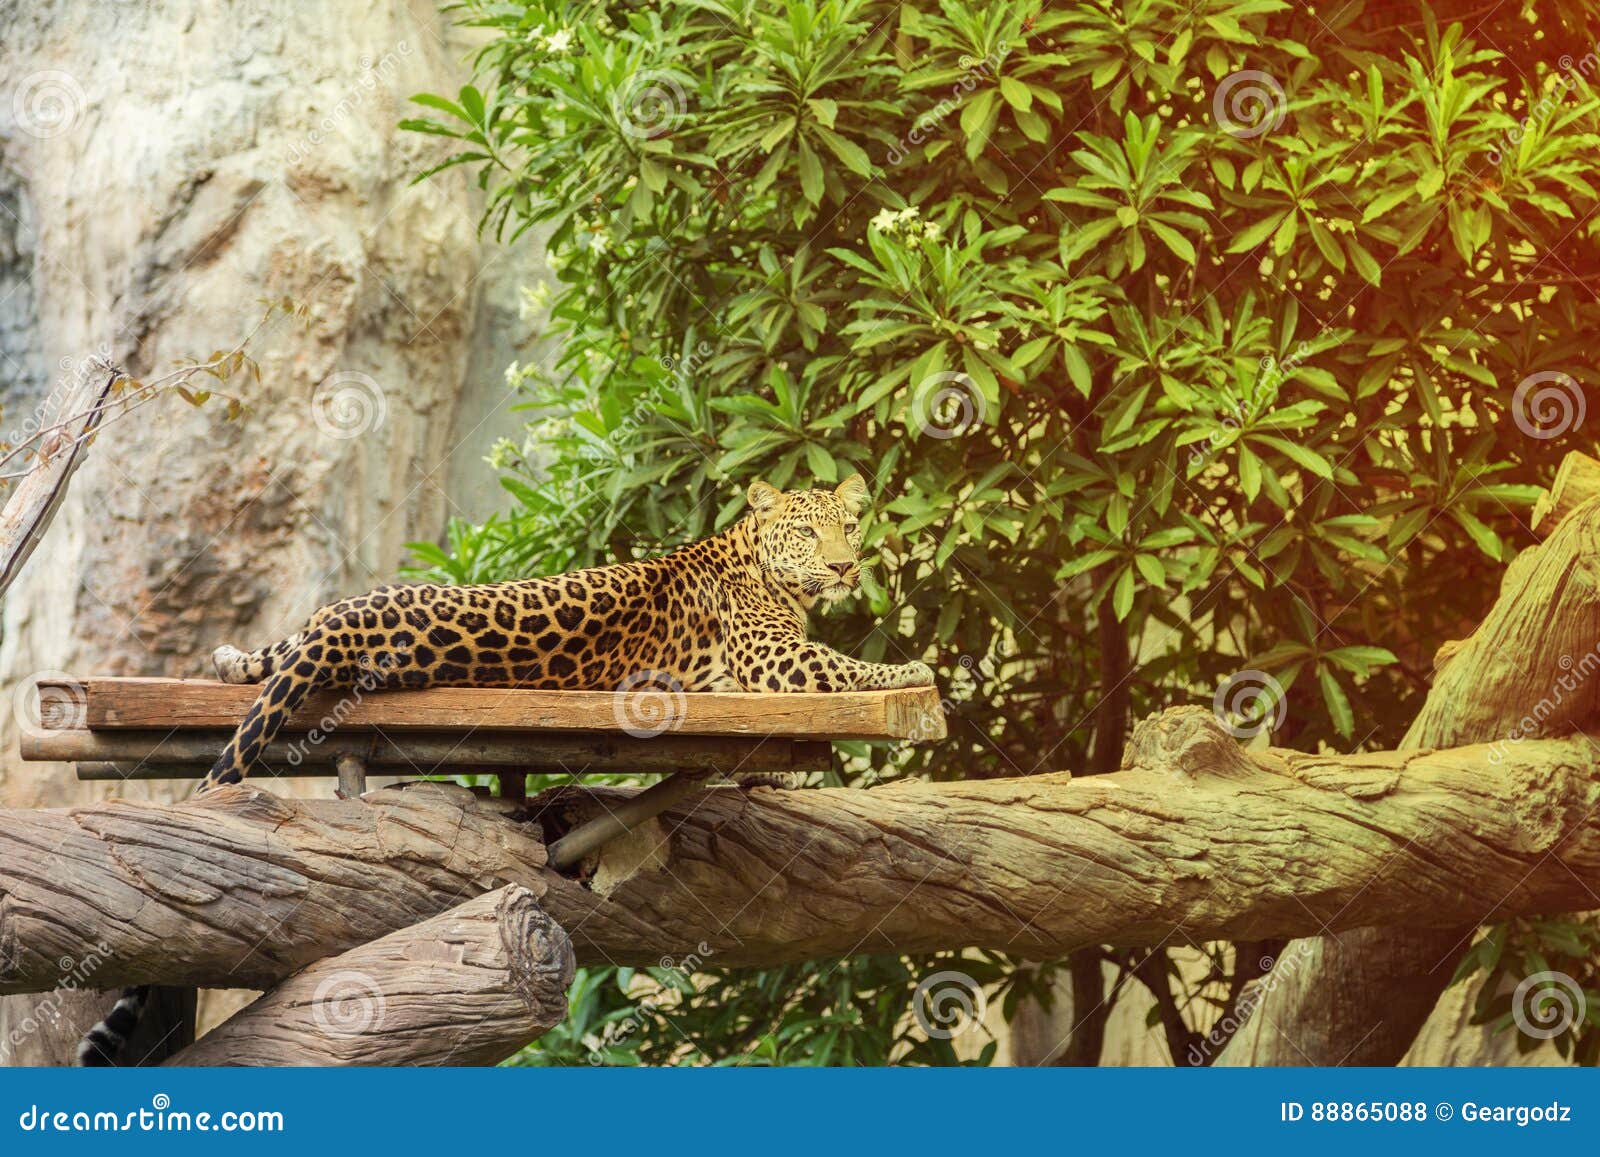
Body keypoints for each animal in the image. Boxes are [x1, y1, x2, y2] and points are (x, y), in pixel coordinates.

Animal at [199, 472, 935, 790]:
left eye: (850, 526)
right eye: (808, 532)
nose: (844, 565)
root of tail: (347, 623)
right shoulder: (774, 657)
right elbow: (844, 666)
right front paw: (914, 670)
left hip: (342, 611)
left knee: (282, 646)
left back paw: (229, 657)